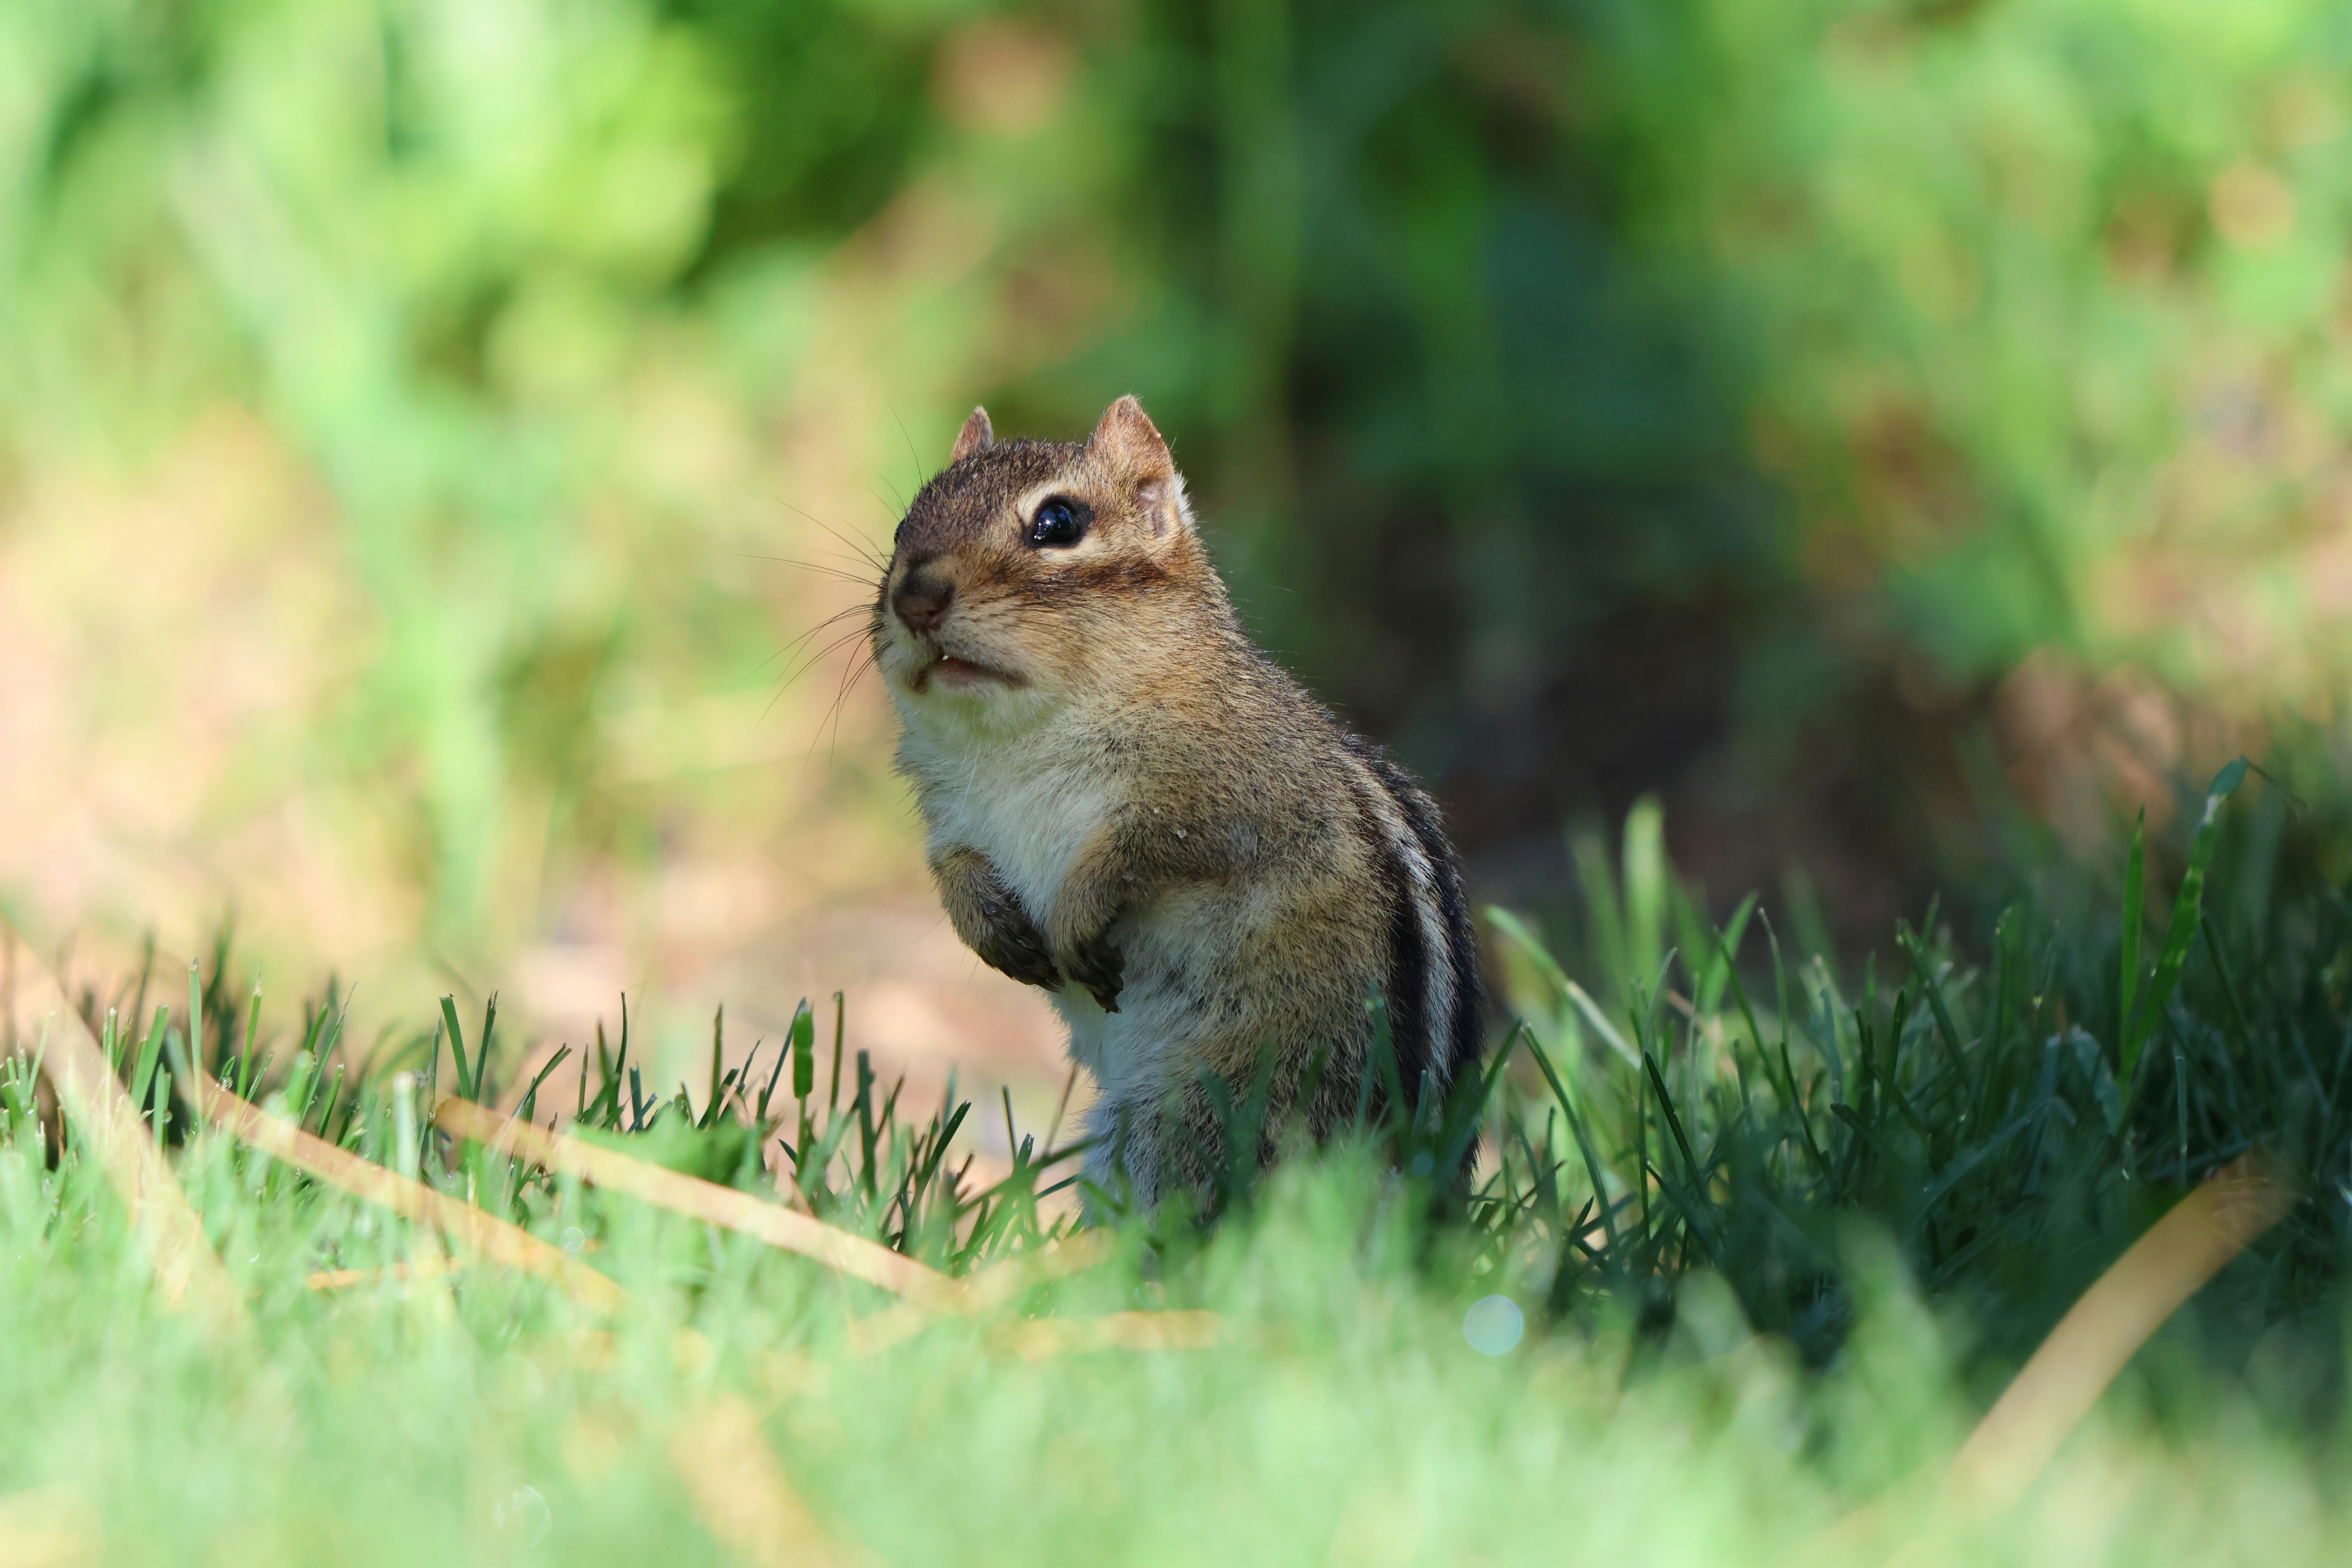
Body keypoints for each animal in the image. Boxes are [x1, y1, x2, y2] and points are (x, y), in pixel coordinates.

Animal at [869, 395, 1483, 1208]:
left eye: (1058, 523)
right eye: (904, 526)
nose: (915, 596)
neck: (1021, 739)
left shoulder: (1236, 793)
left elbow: (1154, 846)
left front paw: (1077, 913)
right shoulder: (950, 814)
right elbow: (953, 864)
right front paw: (987, 923)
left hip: (1198, 1112)